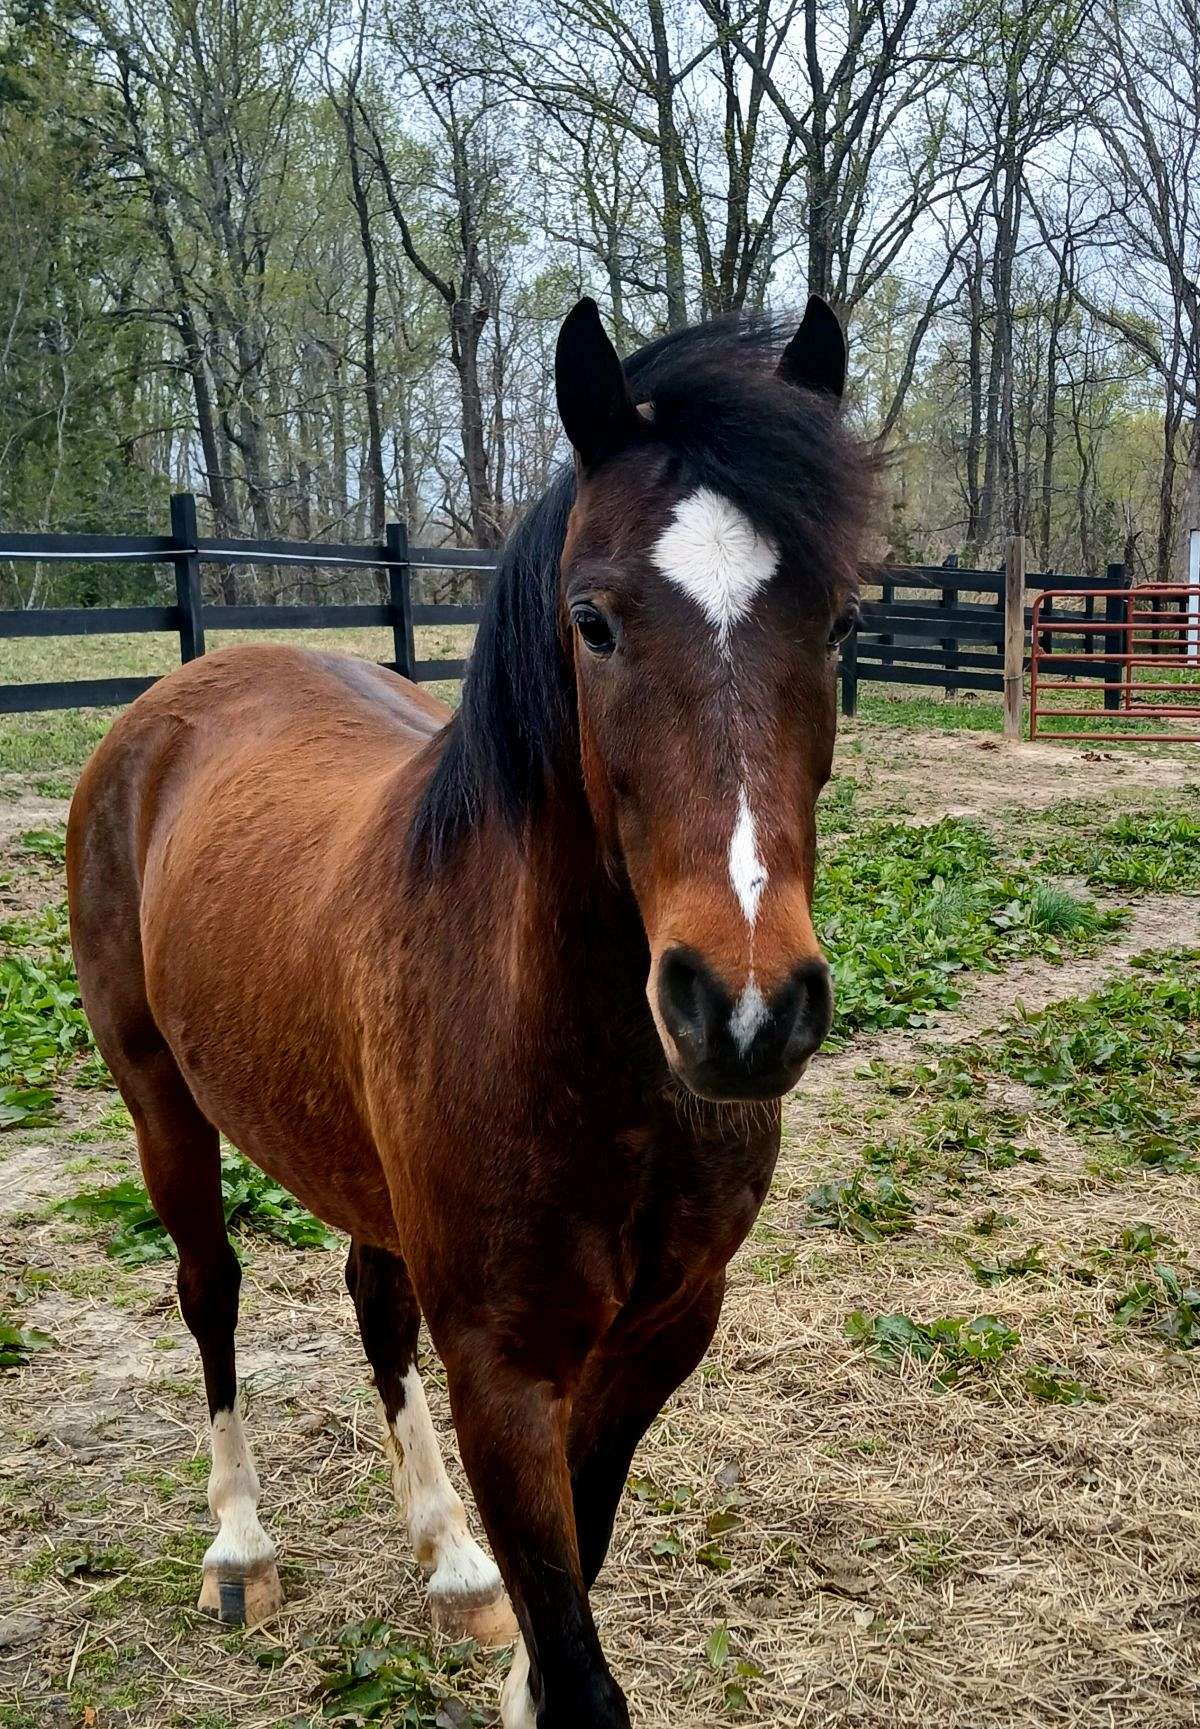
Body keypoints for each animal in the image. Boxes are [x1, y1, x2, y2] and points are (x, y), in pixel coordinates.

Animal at [66, 296, 872, 1728]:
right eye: (594, 620)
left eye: (835, 623)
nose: (744, 1011)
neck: (594, 1066)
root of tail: (168, 705)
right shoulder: (504, 1367)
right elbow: (580, 1662)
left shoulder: (660, 1336)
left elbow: (571, 1592)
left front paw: (501, 1645)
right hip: (158, 1098)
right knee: (210, 1289)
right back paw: (240, 1548)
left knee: (372, 1305)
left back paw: (447, 1557)